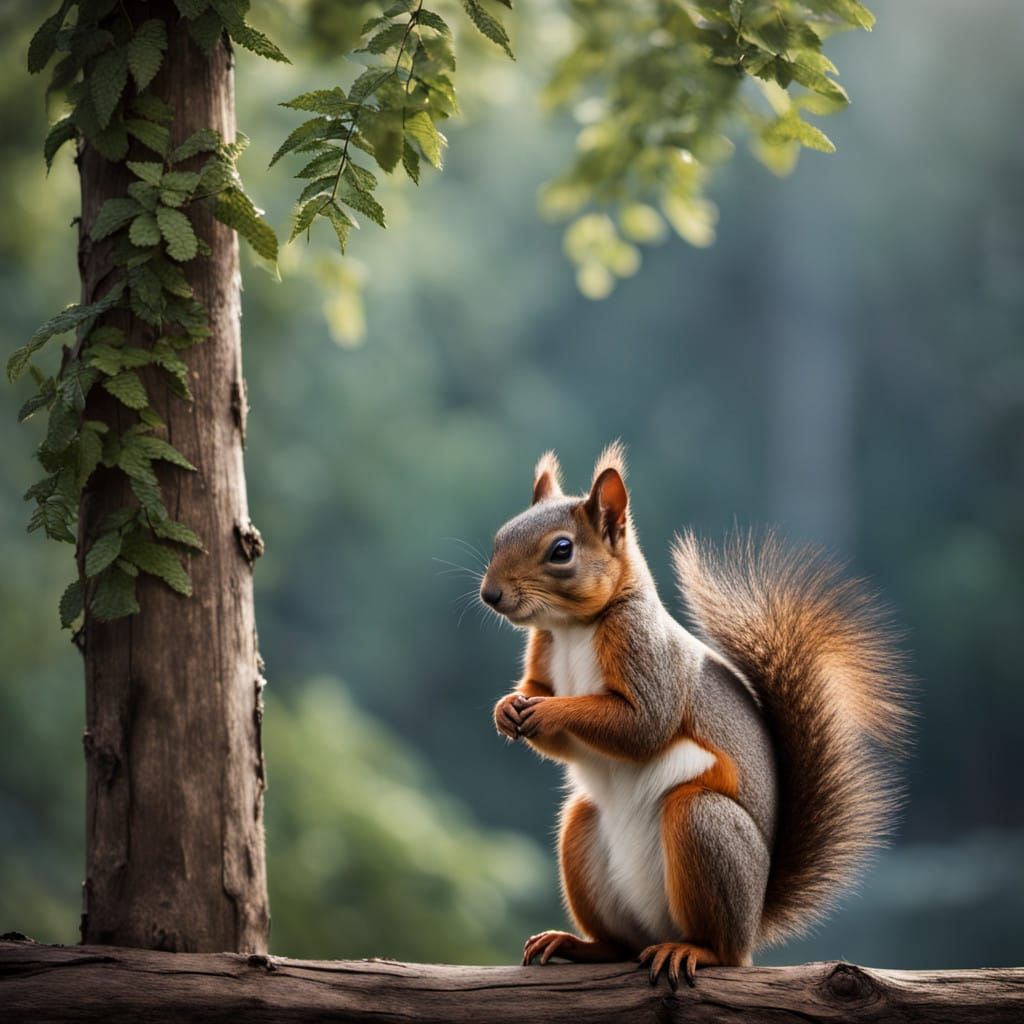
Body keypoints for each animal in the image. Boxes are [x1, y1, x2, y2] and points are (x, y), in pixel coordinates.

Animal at [480, 443, 910, 987]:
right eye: (500, 535)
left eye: (561, 550)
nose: (490, 594)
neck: (572, 627)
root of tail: (751, 924)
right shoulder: (544, 652)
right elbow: (537, 696)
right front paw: (506, 708)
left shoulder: (648, 658)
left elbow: (643, 725)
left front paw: (551, 712)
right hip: (583, 831)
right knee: (618, 945)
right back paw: (578, 945)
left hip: (701, 824)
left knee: (719, 948)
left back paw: (693, 950)